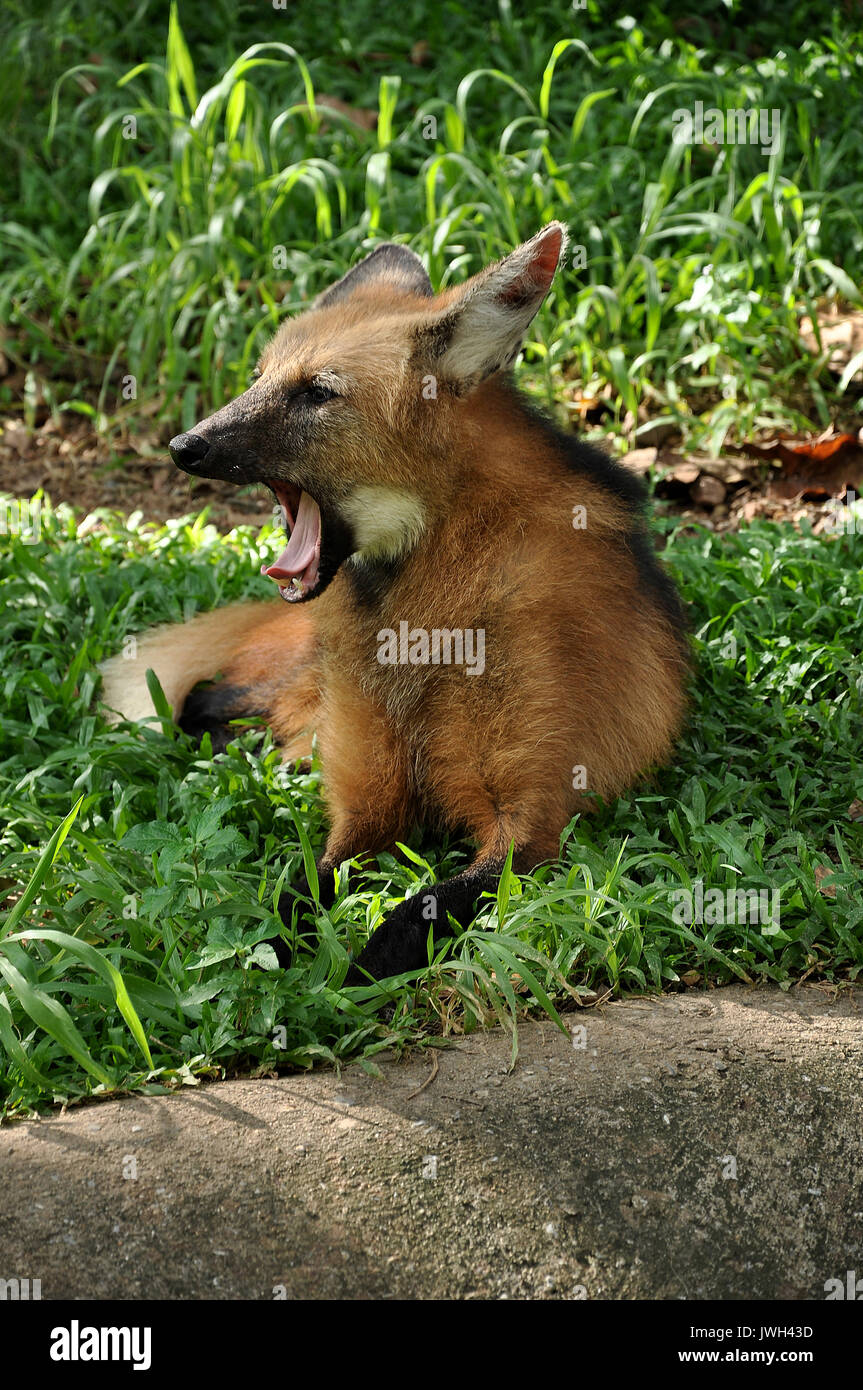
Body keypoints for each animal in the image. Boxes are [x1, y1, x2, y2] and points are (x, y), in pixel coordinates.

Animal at [101, 223, 689, 984]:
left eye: (316, 392)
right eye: (259, 378)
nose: (184, 445)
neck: (428, 607)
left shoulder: (533, 821)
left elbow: (415, 914)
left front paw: (352, 976)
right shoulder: (368, 804)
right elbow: (300, 886)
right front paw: (280, 953)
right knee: (200, 700)